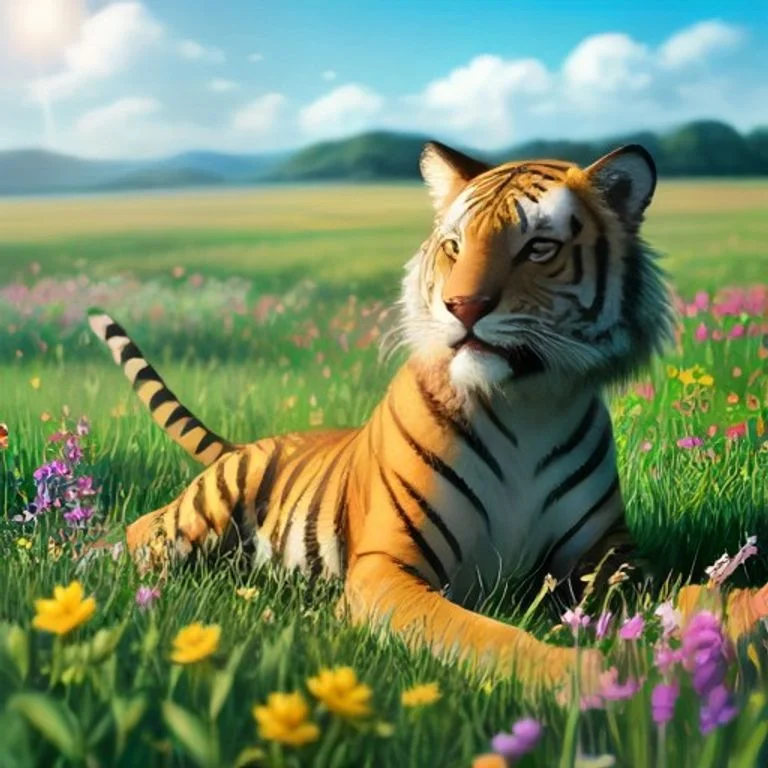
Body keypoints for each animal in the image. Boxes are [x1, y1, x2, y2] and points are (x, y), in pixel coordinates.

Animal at [87, 141, 765, 699]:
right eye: (454, 245)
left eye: (539, 247)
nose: (463, 306)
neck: (527, 403)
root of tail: (242, 443)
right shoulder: (388, 568)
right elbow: (481, 633)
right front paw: (591, 678)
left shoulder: (611, 562)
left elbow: (695, 589)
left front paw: (741, 618)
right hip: (198, 514)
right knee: (139, 531)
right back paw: (87, 556)